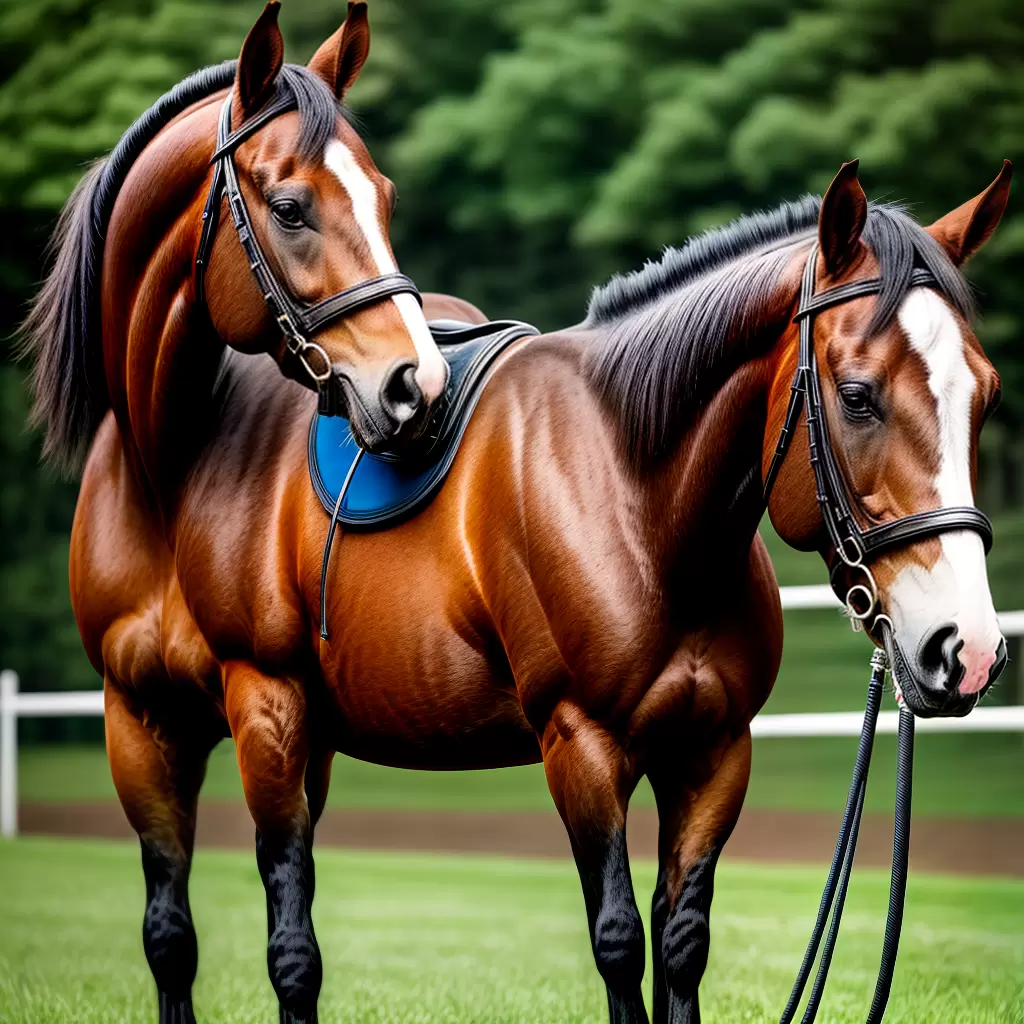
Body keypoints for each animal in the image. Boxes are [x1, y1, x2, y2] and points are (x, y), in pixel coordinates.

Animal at [23, 0, 1011, 1012]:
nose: (965, 648)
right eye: (856, 396)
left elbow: (678, 946)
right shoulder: (185, 721)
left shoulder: (712, 754)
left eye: (985, 394)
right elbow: (216, 942)